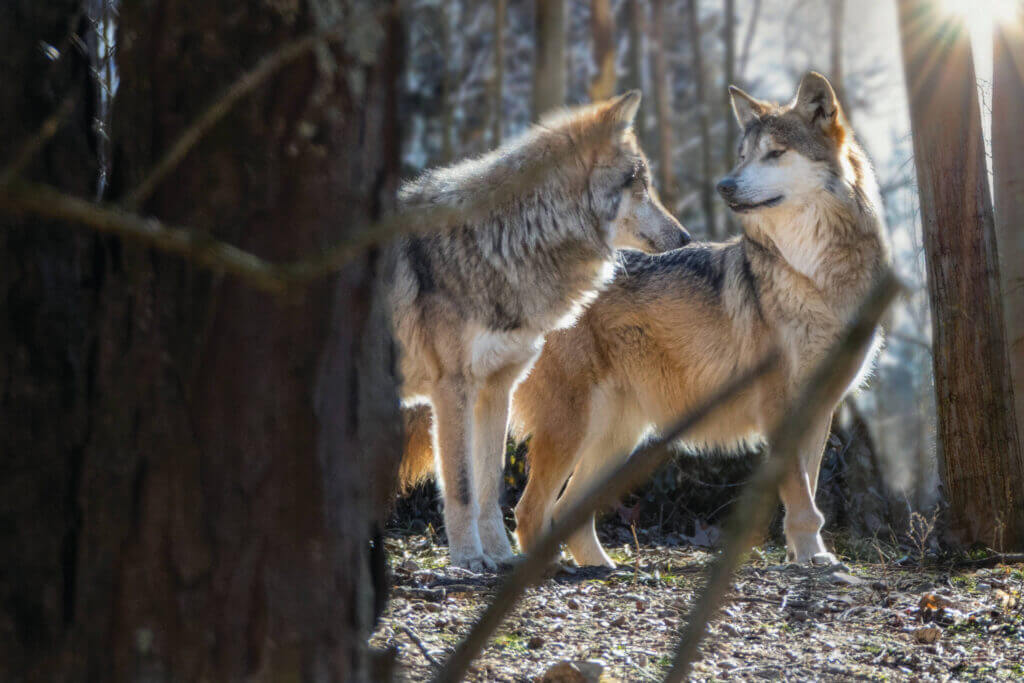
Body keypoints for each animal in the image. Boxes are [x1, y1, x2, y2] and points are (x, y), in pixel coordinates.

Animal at [388, 91, 690, 571]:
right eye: (640, 183)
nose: (686, 236)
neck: (508, 241)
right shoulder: (453, 387)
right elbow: (462, 486)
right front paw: (469, 559)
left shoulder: (497, 387)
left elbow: (490, 485)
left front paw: (499, 556)